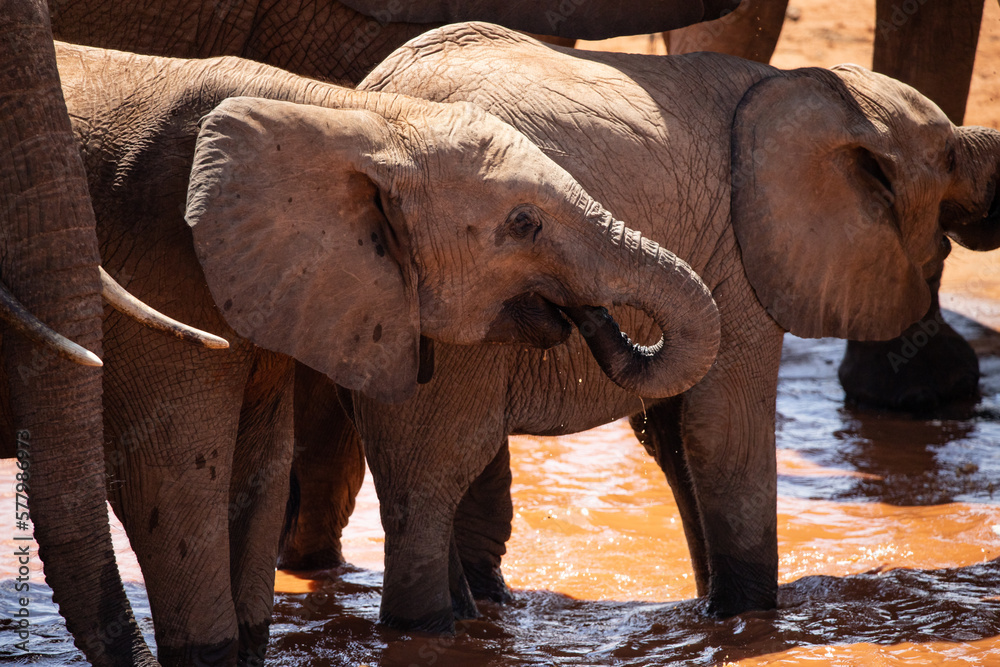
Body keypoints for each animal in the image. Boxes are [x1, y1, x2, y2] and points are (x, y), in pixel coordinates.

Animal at [37, 39, 722, 665]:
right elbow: (169, 479)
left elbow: (258, 472)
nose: (592, 315)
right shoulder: (161, 262)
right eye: (524, 223)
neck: (353, 115)